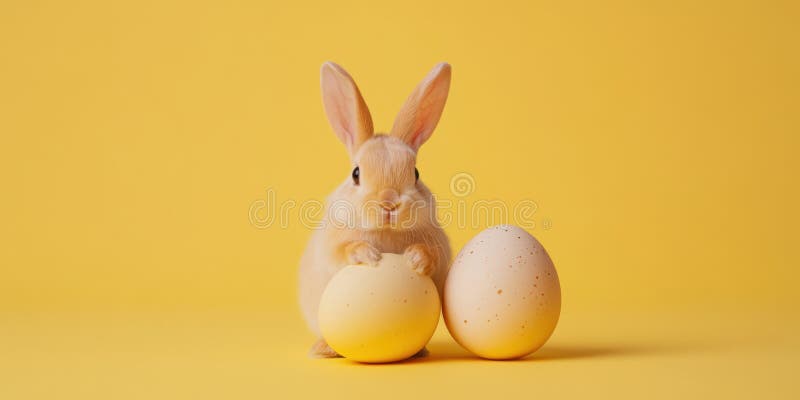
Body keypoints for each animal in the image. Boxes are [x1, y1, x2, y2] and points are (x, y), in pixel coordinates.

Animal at [298, 61, 453, 358]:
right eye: (356, 174)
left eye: (416, 174)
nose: (389, 202)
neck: (385, 231)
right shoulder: (331, 245)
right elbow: (342, 251)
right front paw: (367, 254)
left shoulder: (440, 248)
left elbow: (433, 256)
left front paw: (416, 259)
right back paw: (322, 349)